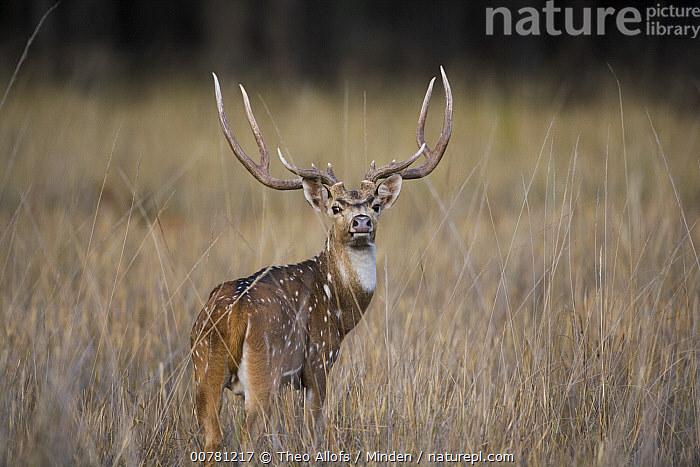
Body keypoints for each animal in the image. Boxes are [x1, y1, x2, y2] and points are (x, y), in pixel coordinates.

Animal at [191, 67, 452, 457]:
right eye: (336, 207)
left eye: (376, 205)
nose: (361, 222)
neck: (339, 307)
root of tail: (231, 314)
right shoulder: (319, 359)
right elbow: (312, 428)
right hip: (265, 368)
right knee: (249, 435)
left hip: (202, 367)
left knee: (212, 438)